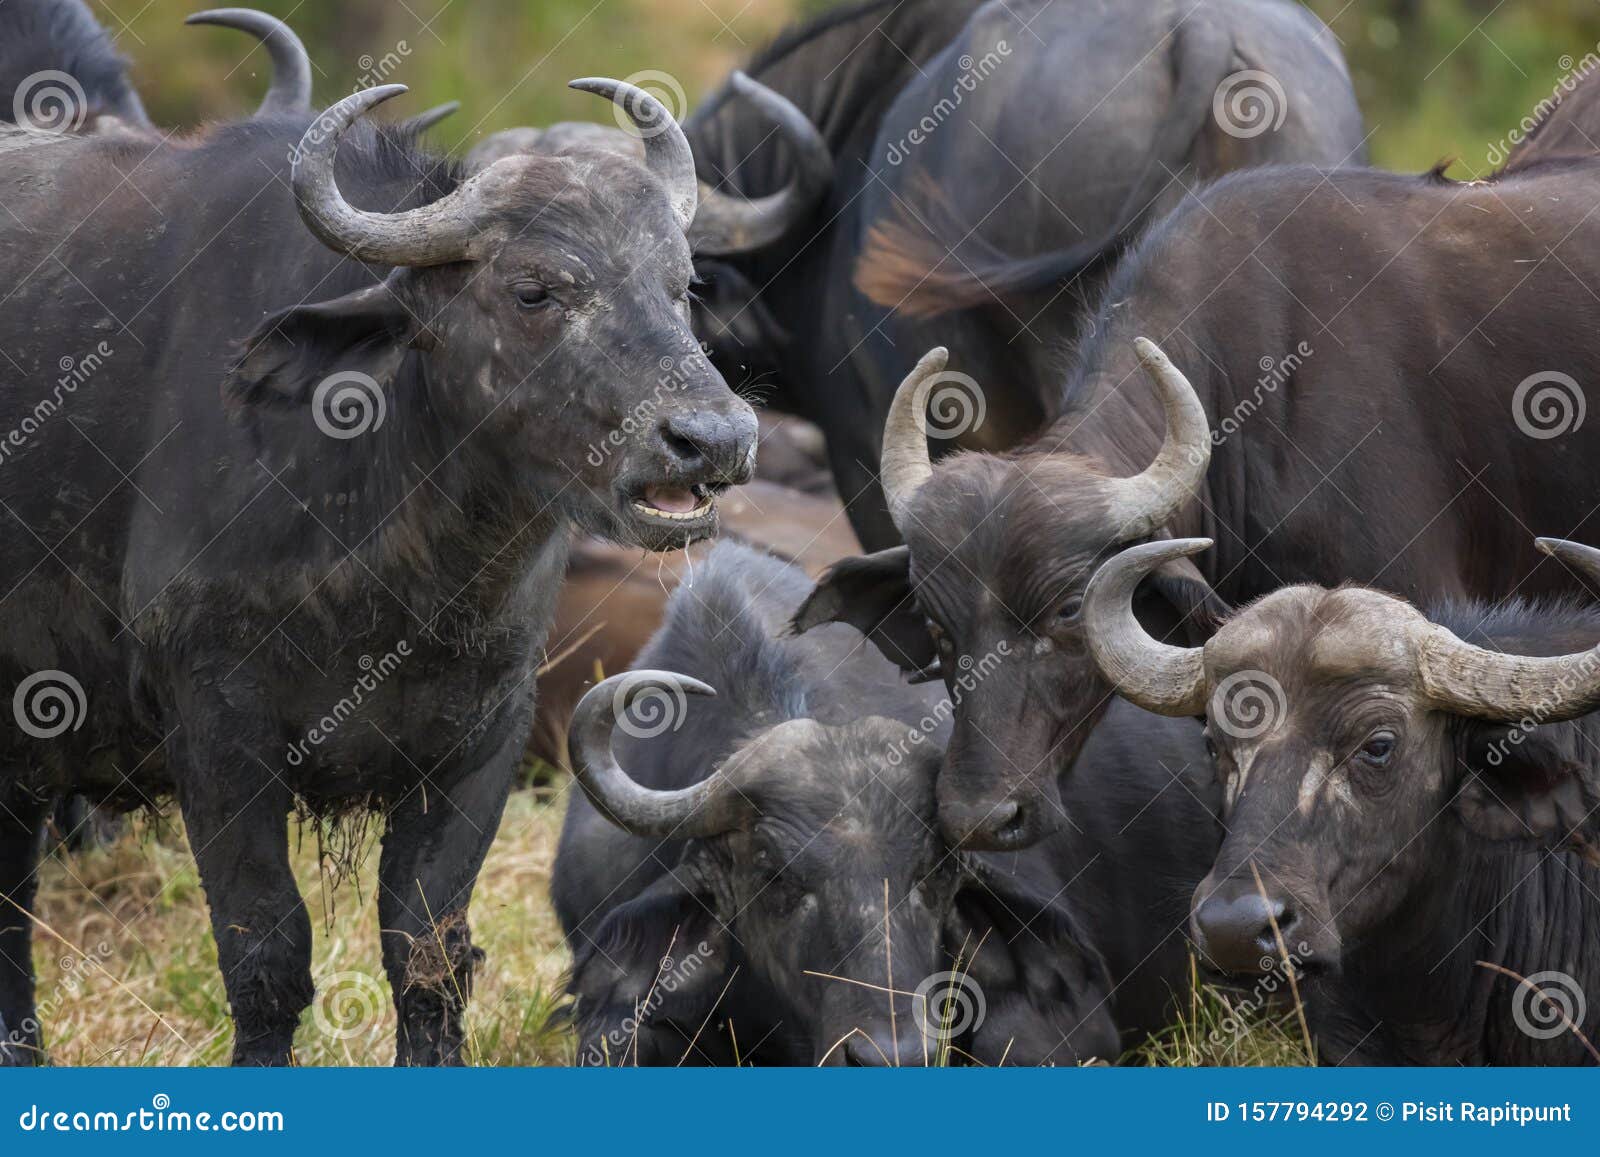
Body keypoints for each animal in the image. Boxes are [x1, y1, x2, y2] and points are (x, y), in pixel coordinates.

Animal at [0, 77, 755, 1065]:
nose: (716, 437)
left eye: (680, 286)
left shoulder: (484, 737)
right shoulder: (217, 735)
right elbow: (266, 951)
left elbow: (427, 950)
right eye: (533, 289)